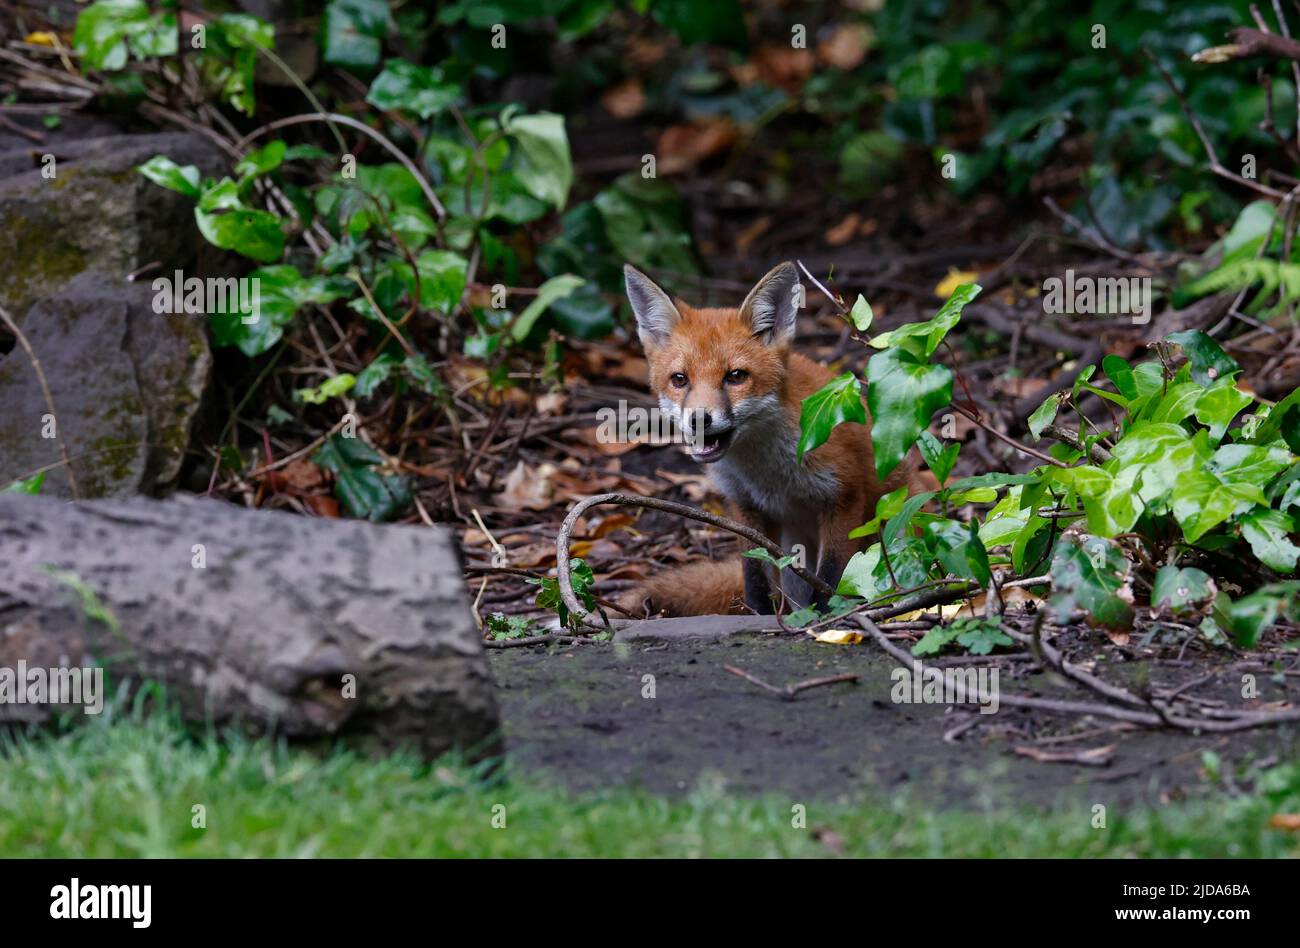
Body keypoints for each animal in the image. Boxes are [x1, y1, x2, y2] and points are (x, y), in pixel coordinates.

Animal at [619, 261, 920, 618]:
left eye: (735, 376)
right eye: (679, 379)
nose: (699, 419)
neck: (767, 473)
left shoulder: (845, 496)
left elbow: (833, 578)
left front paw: (824, 619)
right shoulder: (745, 506)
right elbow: (755, 578)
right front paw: (760, 615)